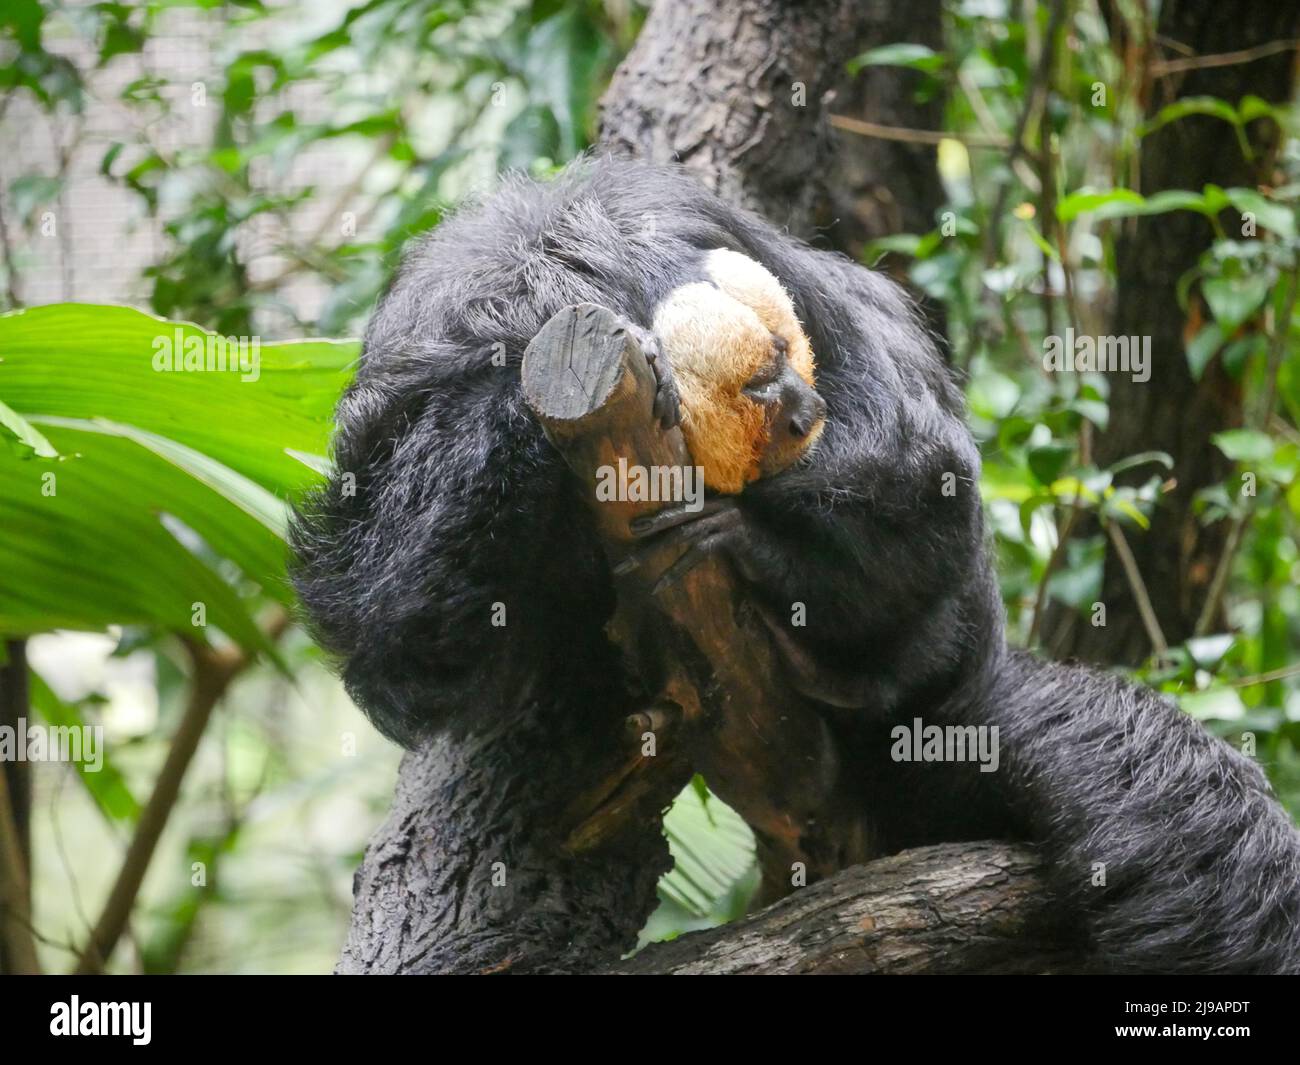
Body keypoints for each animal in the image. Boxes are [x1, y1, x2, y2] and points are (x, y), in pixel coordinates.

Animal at [291, 155, 1300, 973]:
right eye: (762, 389)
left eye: (785, 354)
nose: (805, 406)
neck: (568, 278)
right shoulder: (417, 386)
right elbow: (391, 635)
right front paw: (515, 419)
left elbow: (920, 478)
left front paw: (745, 536)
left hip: (944, 656)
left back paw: (829, 669)